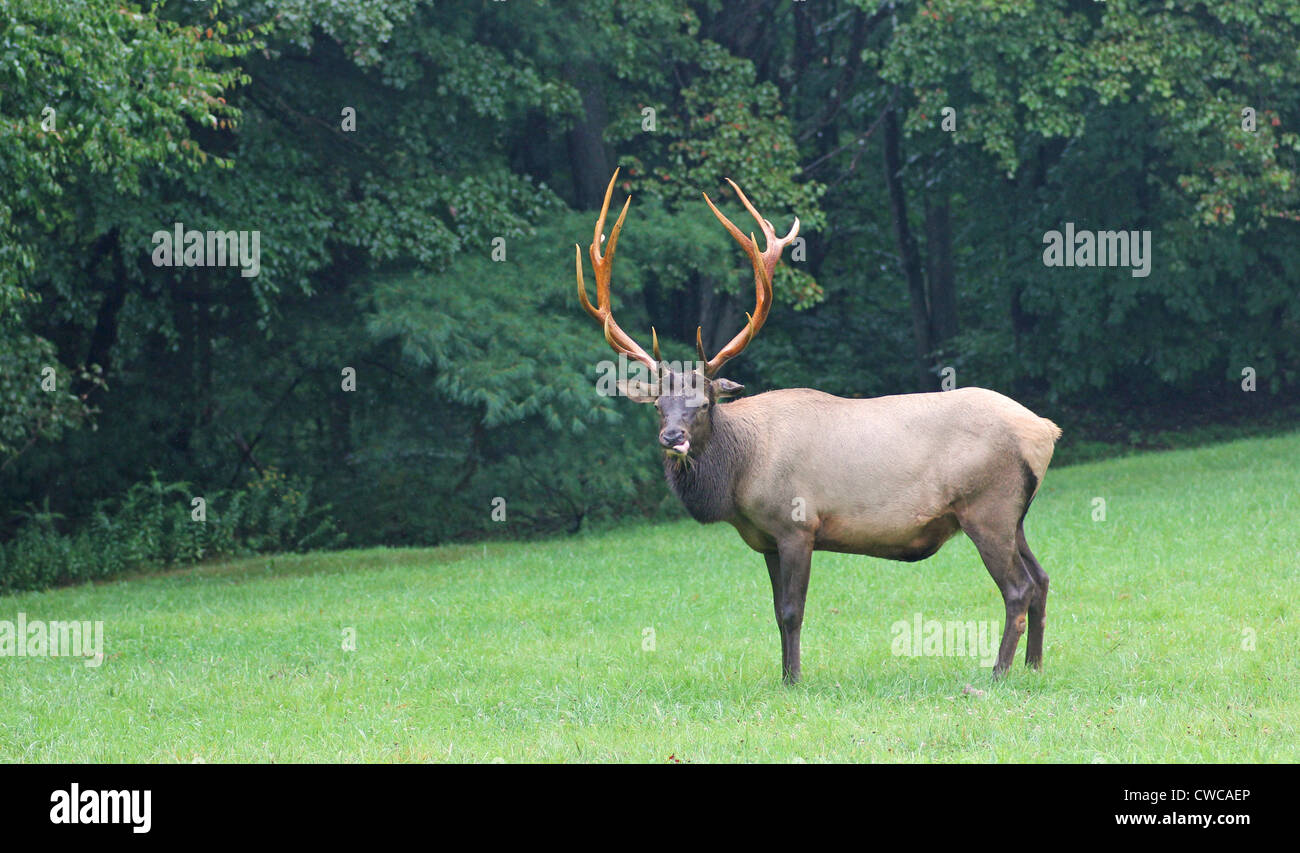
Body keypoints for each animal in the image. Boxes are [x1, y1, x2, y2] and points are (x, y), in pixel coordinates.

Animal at [576, 170, 1061, 684]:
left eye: (704, 403)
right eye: (657, 406)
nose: (673, 437)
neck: (739, 477)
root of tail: (1046, 431)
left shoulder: (797, 524)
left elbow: (792, 611)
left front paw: (793, 680)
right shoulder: (765, 541)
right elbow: (774, 612)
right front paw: (785, 675)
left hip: (986, 506)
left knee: (1018, 588)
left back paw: (998, 674)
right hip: (1015, 514)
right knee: (1042, 578)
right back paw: (1034, 667)